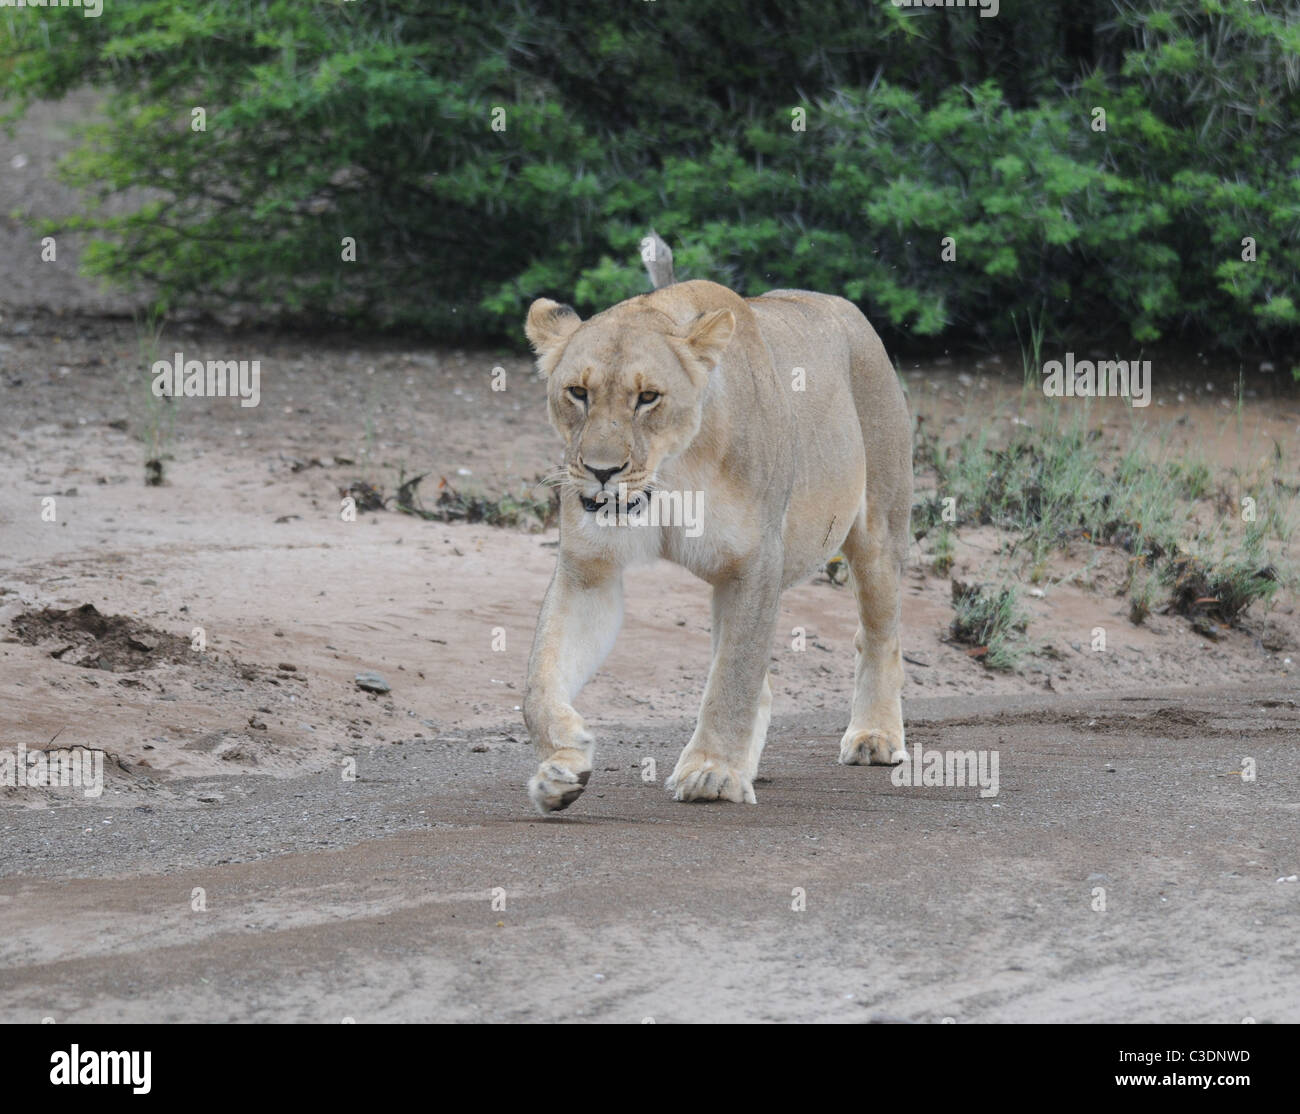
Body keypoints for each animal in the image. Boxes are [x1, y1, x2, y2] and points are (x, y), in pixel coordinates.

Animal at [521, 235, 913, 813]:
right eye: (577, 393)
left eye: (648, 397)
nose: (601, 471)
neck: (670, 475)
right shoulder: (588, 570)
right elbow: (540, 680)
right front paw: (562, 762)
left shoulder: (755, 564)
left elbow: (732, 679)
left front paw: (712, 772)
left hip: (877, 531)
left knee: (879, 636)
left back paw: (875, 736)